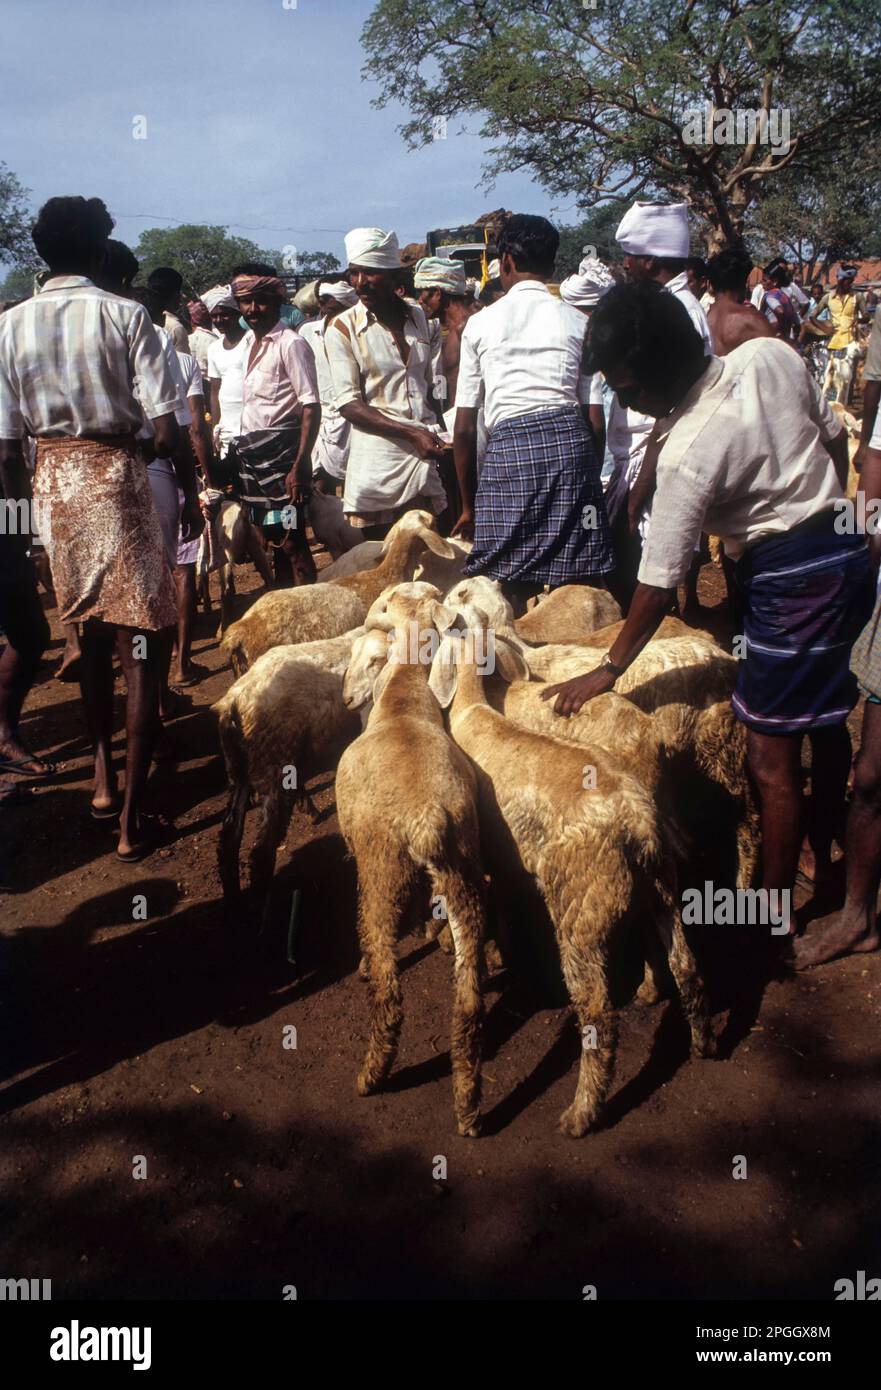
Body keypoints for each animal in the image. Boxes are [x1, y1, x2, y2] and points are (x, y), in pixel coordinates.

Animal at [214, 628, 364, 926]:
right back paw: (259, 913)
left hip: (239, 774)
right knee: (262, 850)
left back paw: (234, 902)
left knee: (229, 838)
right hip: (275, 769)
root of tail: (234, 703)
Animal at [337, 604, 486, 1135]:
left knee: (389, 989)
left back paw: (371, 1075)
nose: (346, 699)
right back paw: (467, 1103)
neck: (403, 702)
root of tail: (426, 820)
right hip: (463, 875)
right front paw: (430, 931)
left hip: (380, 874)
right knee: (468, 1000)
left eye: (367, 658)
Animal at [428, 604, 714, 1137]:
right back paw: (702, 1039)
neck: (474, 710)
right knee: (685, 962)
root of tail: (635, 825)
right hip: (660, 886)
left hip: (581, 909)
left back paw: (582, 1112)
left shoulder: (491, 855)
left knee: (599, 1012)